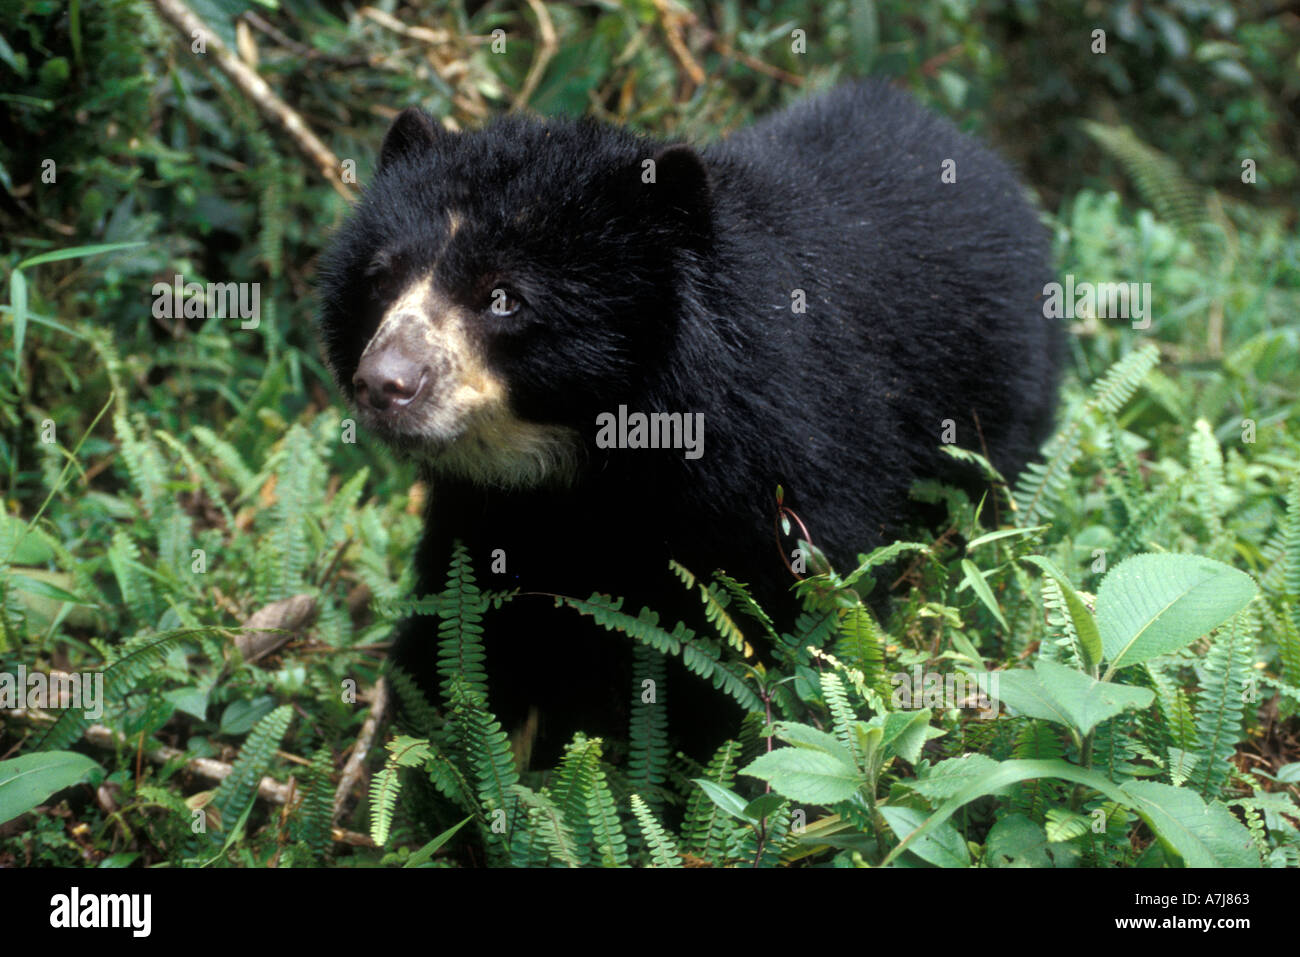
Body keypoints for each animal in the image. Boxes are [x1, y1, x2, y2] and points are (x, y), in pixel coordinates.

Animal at [317, 79, 1062, 764]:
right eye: (381, 278)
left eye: (503, 298)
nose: (384, 383)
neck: (585, 458)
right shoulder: (493, 514)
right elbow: (471, 633)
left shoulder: (784, 462)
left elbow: (793, 629)